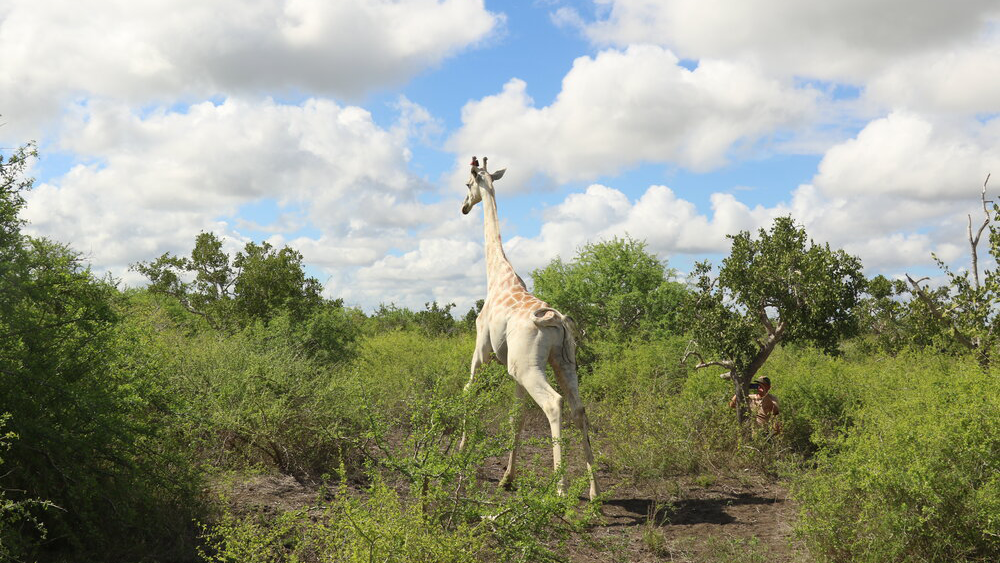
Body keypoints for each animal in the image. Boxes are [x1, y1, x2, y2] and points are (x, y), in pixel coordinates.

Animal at [460, 156, 598, 500]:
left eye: (468, 184)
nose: (464, 206)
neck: (497, 275)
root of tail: (556, 320)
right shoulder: (512, 370)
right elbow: (516, 417)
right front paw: (507, 478)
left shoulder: (481, 353)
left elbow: (468, 391)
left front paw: (461, 453)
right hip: (562, 361)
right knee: (579, 408)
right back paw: (594, 492)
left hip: (529, 366)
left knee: (554, 404)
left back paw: (560, 490)